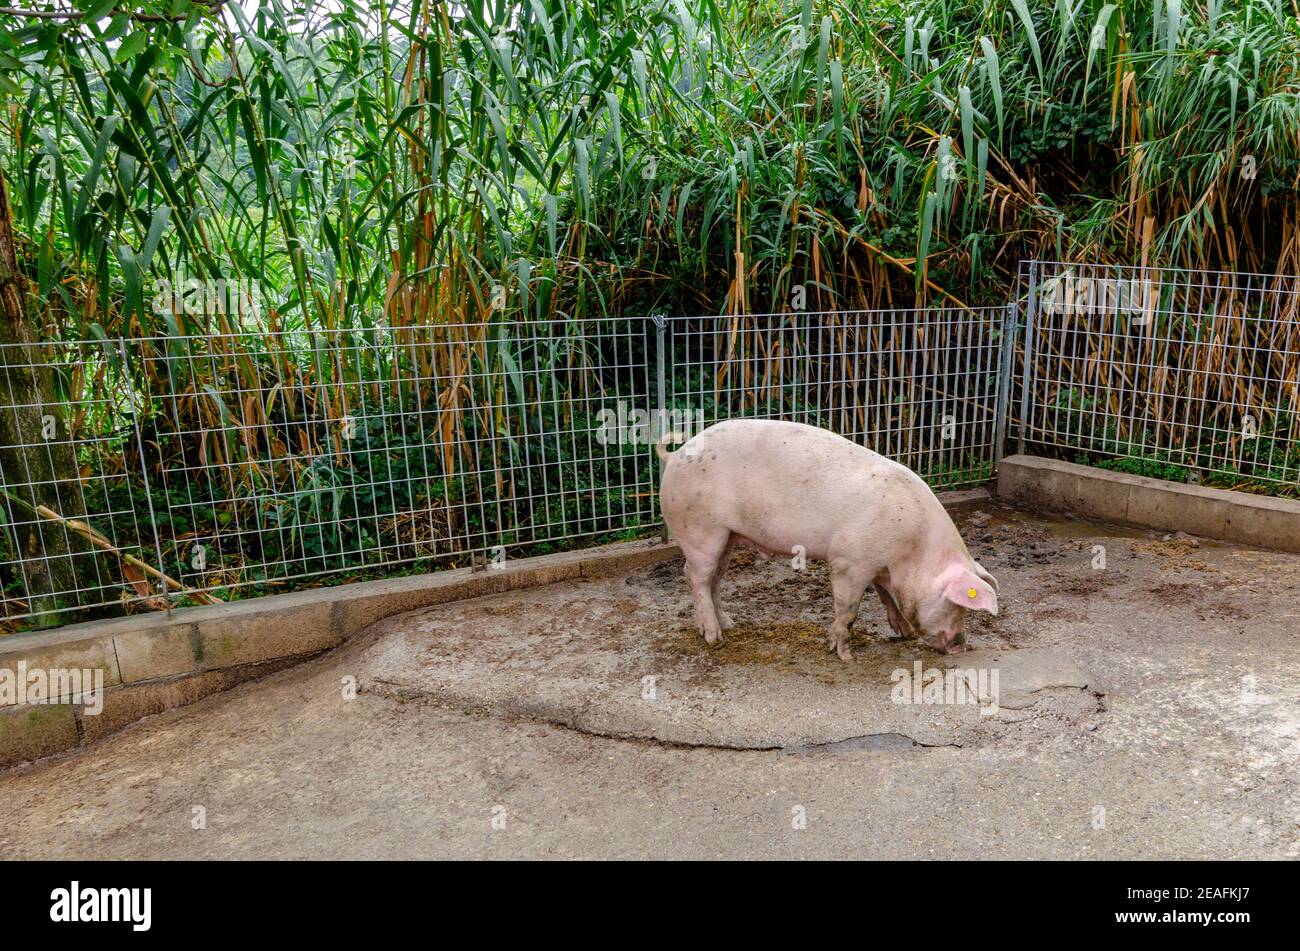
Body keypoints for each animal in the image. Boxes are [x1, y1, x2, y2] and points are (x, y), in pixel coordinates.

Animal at [656, 419, 998, 660]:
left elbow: (887, 596)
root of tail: (674, 456)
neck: (913, 550)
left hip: (727, 536)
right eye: (958, 606)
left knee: (714, 578)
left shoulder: (878, 564)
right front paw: (844, 655)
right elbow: (848, 610)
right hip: (700, 529)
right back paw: (714, 637)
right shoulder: (849, 562)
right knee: (696, 576)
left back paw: (730, 624)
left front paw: (904, 633)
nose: (960, 646)